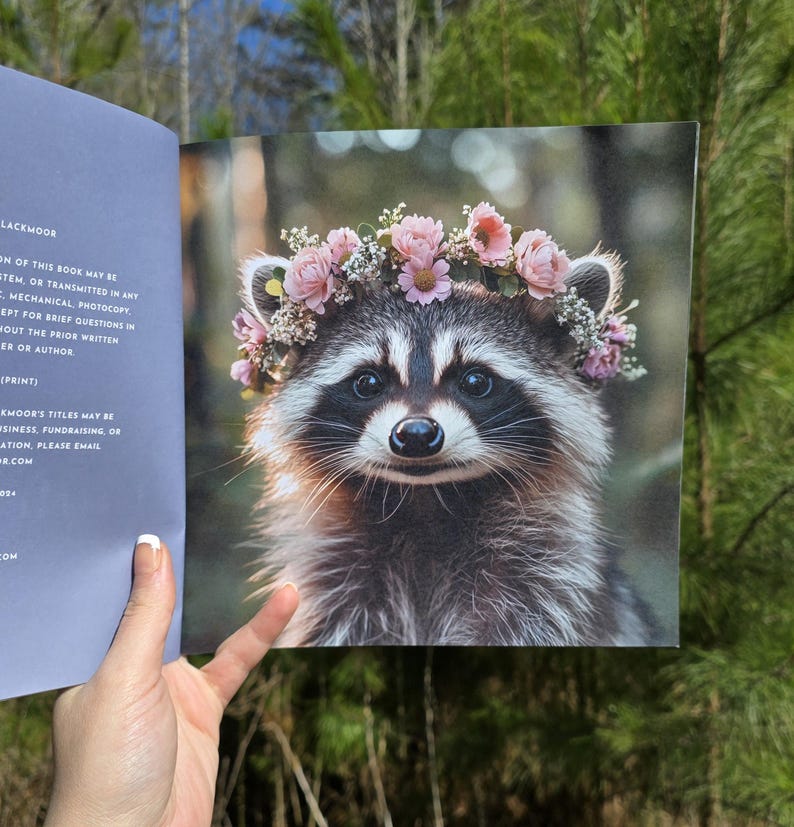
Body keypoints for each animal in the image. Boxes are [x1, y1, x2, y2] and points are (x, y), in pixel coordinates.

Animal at [239, 253, 653, 646]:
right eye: (368, 382)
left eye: (475, 381)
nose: (416, 434)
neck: (426, 500)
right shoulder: (337, 581)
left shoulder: (544, 578)